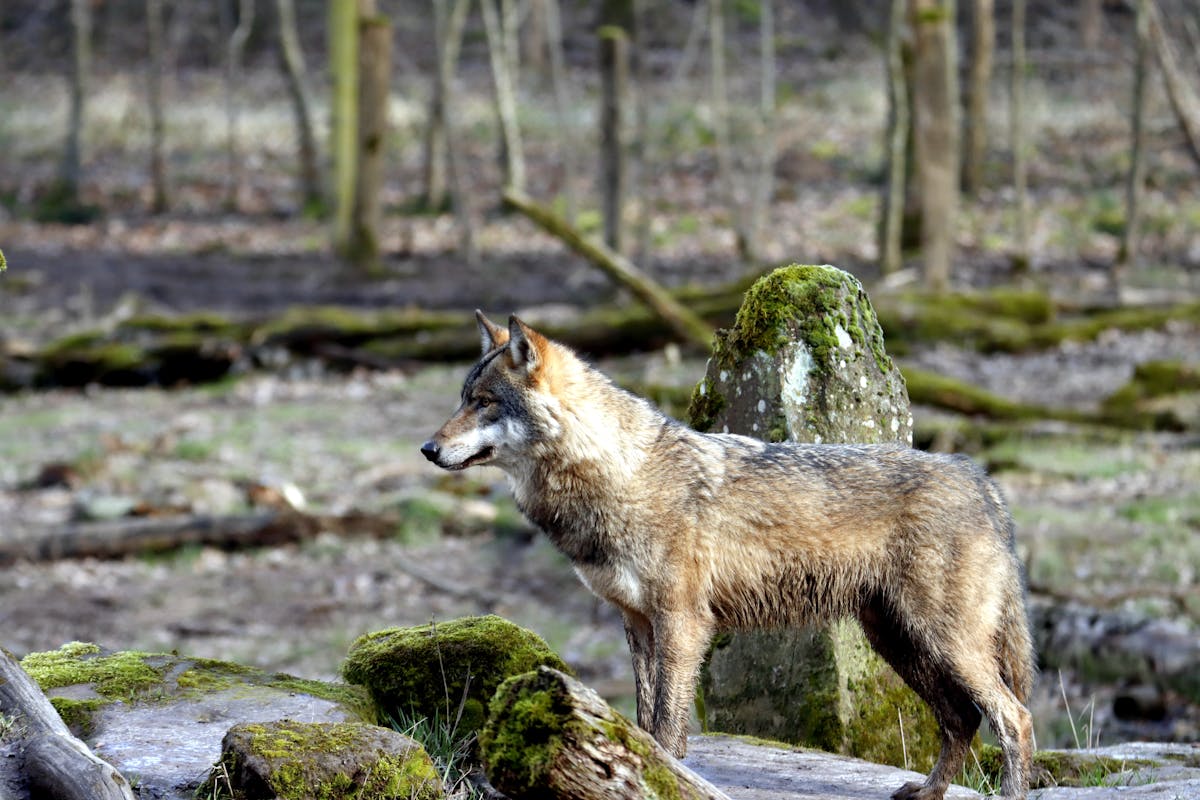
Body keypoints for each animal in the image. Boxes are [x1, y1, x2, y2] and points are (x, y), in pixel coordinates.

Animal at [421, 312, 1035, 800]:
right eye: (461, 398)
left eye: (482, 403)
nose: (427, 448)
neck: (620, 474)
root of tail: (982, 481)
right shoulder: (637, 622)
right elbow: (644, 718)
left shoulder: (682, 622)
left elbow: (667, 724)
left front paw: (666, 776)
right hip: (901, 642)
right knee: (963, 719)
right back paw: (927, 792)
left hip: (940, 641)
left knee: (1014, 718)